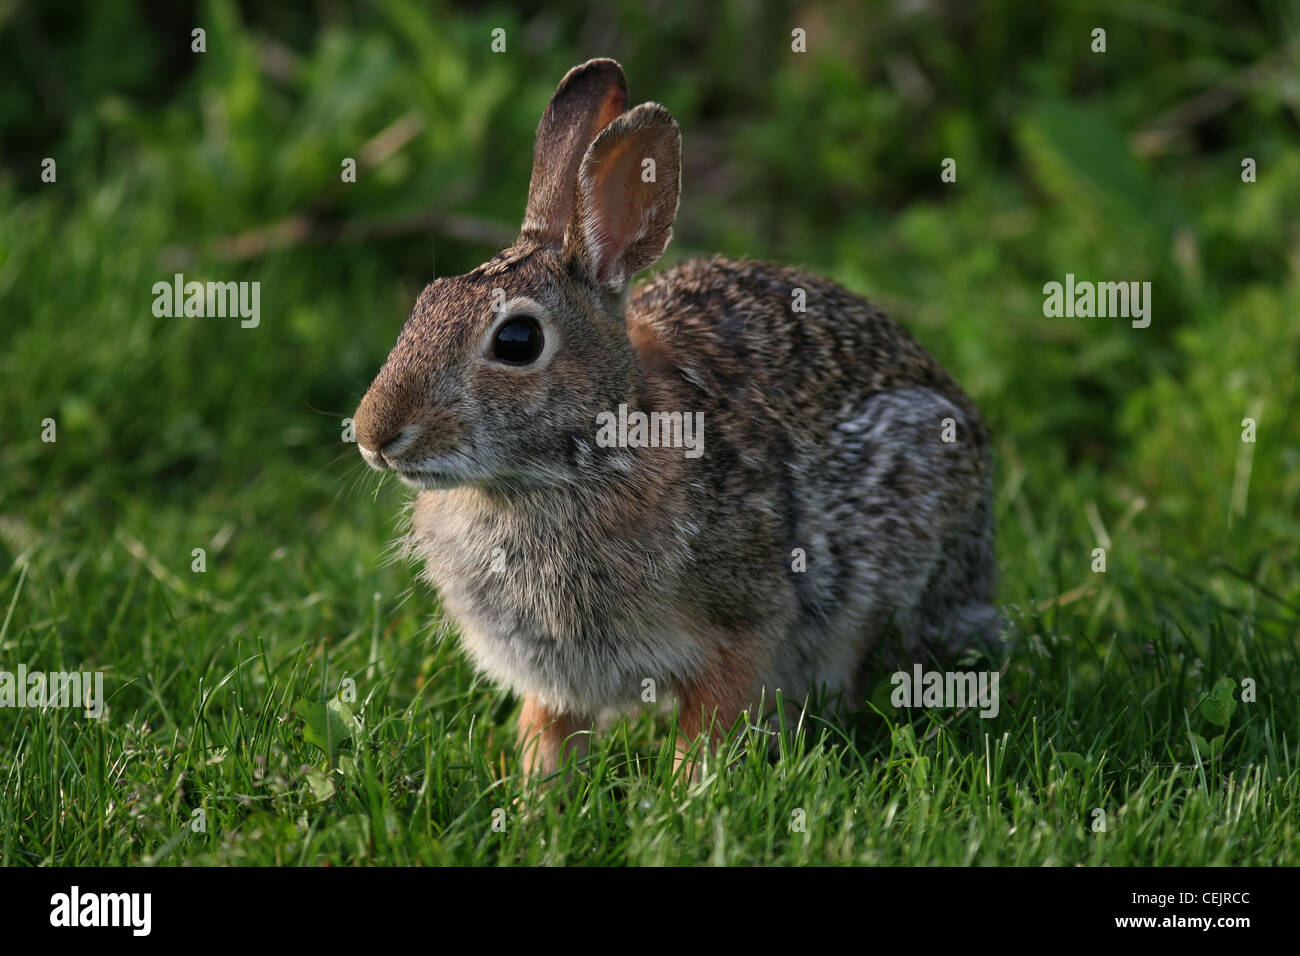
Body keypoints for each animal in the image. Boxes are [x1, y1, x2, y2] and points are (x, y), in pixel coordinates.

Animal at [352, 58, 999, 780]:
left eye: (517, 341)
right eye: (425, 302)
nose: (375, 434)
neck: (584, 459)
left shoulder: (742, 627)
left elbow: (711, 721)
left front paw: (692, 791)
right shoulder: (552, 673)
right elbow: (547, 729)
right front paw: (536, 794)